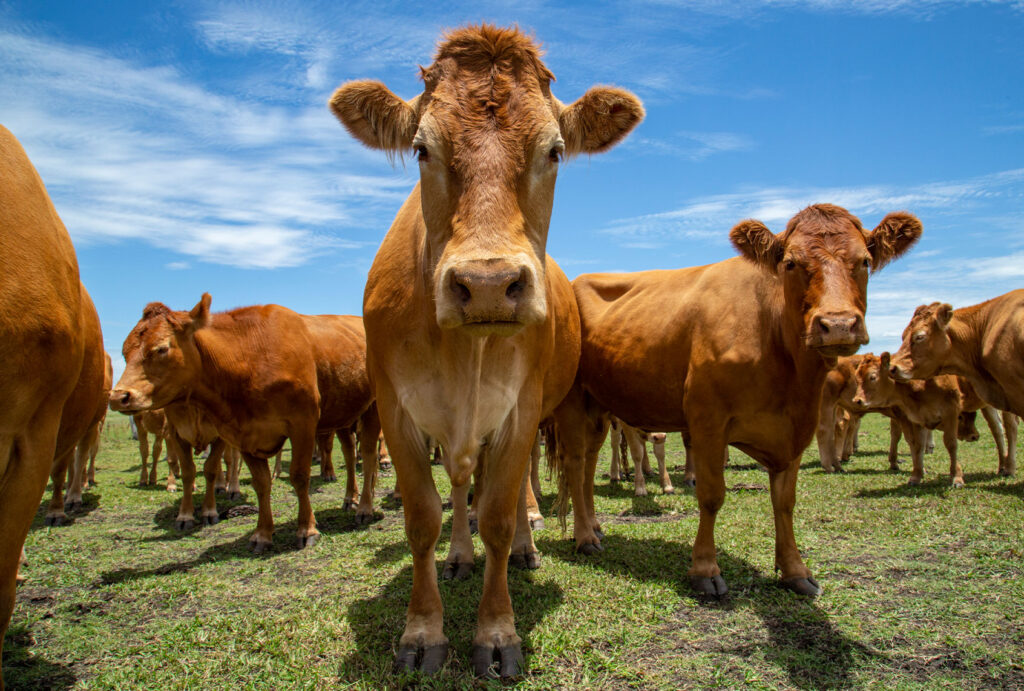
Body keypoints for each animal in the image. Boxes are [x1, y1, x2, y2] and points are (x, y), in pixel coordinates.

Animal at [110, 300, 382, 546]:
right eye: (124, 351)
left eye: (161, 349)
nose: (118, 396)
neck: (248, 357)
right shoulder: (242, 434)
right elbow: (260, 483)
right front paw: (262, 533)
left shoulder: (303, 424)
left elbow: (299, 476)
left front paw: (307, 529)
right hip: (345, 414)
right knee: (349, 454)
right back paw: (350, 498)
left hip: (372, 411)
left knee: (368, 456)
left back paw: (365, 507)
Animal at [328, 24, 642, 677]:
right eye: (422, 149)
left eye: (554, 151)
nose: (490, 284)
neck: (462, 356)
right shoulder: (396, 411)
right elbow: (423, 518)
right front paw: (423, 632)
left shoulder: (521, 410)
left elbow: (496, 514)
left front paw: (497, 633)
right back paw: (459, 556)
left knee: (529, 483)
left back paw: (529, 543)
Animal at [552, 204, 921, 599]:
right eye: (790, 263)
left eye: (865, 261)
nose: (837, 325)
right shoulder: (708, 420)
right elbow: (712, 495)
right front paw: (704, 569)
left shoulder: (795, 428)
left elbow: (785, 501)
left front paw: (794, 570)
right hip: (572, 401)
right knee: (575, 463)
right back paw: (585, 536)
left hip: (598, 405)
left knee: (589, 463)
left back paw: (592, 525)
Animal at [851, 353, 963, 486]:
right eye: (856, 378)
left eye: (872, 377)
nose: (857, 401)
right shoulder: (912, 418)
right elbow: (916, 445)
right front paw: (917, 474)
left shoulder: (951, 413)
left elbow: (951, 444)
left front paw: (956, 477)